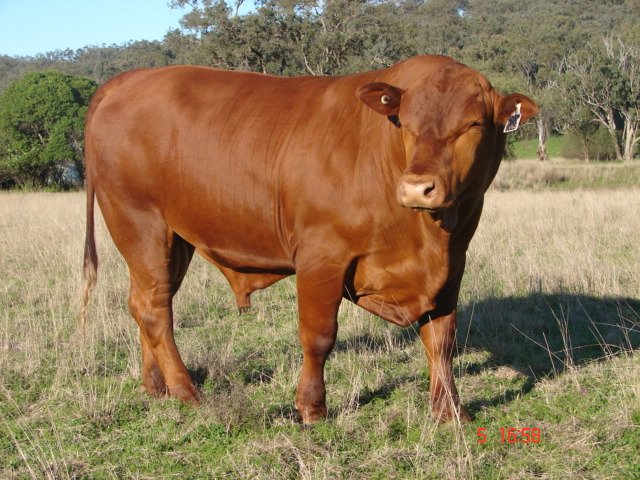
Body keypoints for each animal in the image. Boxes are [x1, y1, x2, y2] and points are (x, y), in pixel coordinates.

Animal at [80, 55, 537, 424]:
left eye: (474, 124)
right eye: (405, 123)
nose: (417, 188)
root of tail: (131, 78)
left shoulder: (452, 265)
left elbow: (441, 340)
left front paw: (450, 411)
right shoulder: (321, 256)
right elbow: (318, 336)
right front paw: (312, 408)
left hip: (173, 240)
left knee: (146, 302)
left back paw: (155, 387)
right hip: (141, 226)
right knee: (155, 309)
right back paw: (187, 392)